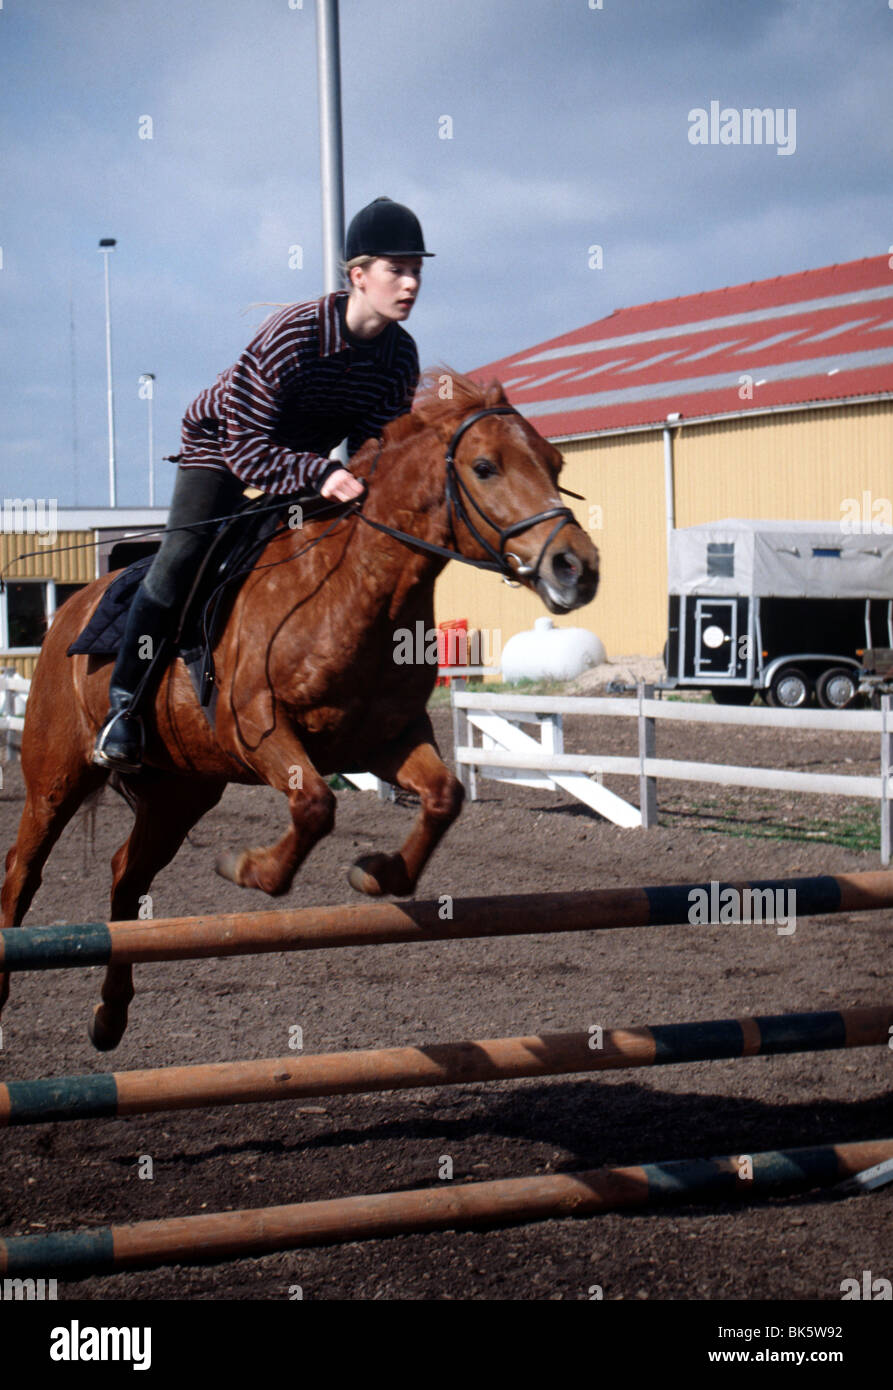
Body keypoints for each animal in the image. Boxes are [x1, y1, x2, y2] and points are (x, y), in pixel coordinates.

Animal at [0, 370, 599, 1049]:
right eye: (484, 466)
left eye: (555, 463)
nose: (577, 568)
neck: (354, 587)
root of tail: (68, 611)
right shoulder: (259, 731)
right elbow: (315, 804)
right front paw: (248, 867)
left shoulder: (386, 740)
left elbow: (444, 796)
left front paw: (378, 873)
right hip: (58, 776)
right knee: (22, 871)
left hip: (181, 791)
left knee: (127, 873)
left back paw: (111, 1016)